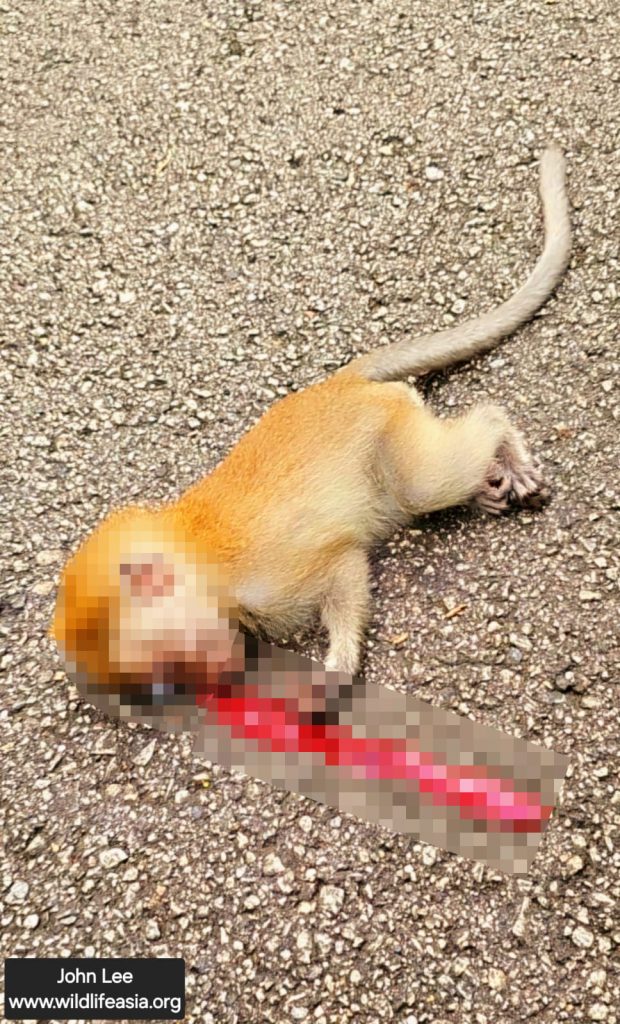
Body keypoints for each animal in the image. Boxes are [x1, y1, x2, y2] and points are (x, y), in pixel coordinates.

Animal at [52, 146, 571, 697]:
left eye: (169, 667)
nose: (214, 679)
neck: (201, 558)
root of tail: (337, 385)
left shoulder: (271, 575)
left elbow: (342, 567)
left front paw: (337, 667)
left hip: (388, 430)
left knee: (427, 478)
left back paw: (503, 445)